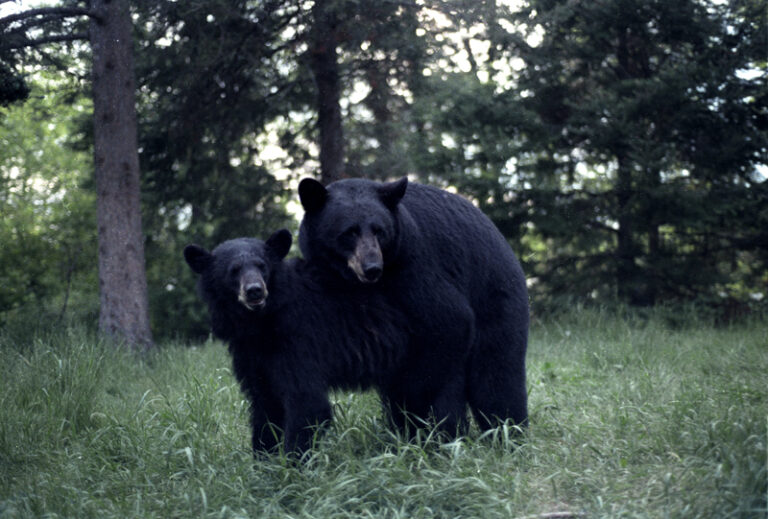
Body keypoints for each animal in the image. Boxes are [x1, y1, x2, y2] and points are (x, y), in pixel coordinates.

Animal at [184, 230, 409, 455]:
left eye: (262, 266)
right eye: (234, 270)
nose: (255, 291)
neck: (261, 323)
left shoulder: (299, 340)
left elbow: (306, 402)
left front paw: (292, 460)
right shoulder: (250, 355)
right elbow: (265, 404)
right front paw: (263, 458)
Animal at [298, 177, 529, 435]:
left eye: (379, 231)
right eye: (349, 232)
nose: (372, 268)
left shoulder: (413, 267)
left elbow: (450, 321)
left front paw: (414, 408)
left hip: (495, 298)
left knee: (496, 377)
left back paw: (503, 431)